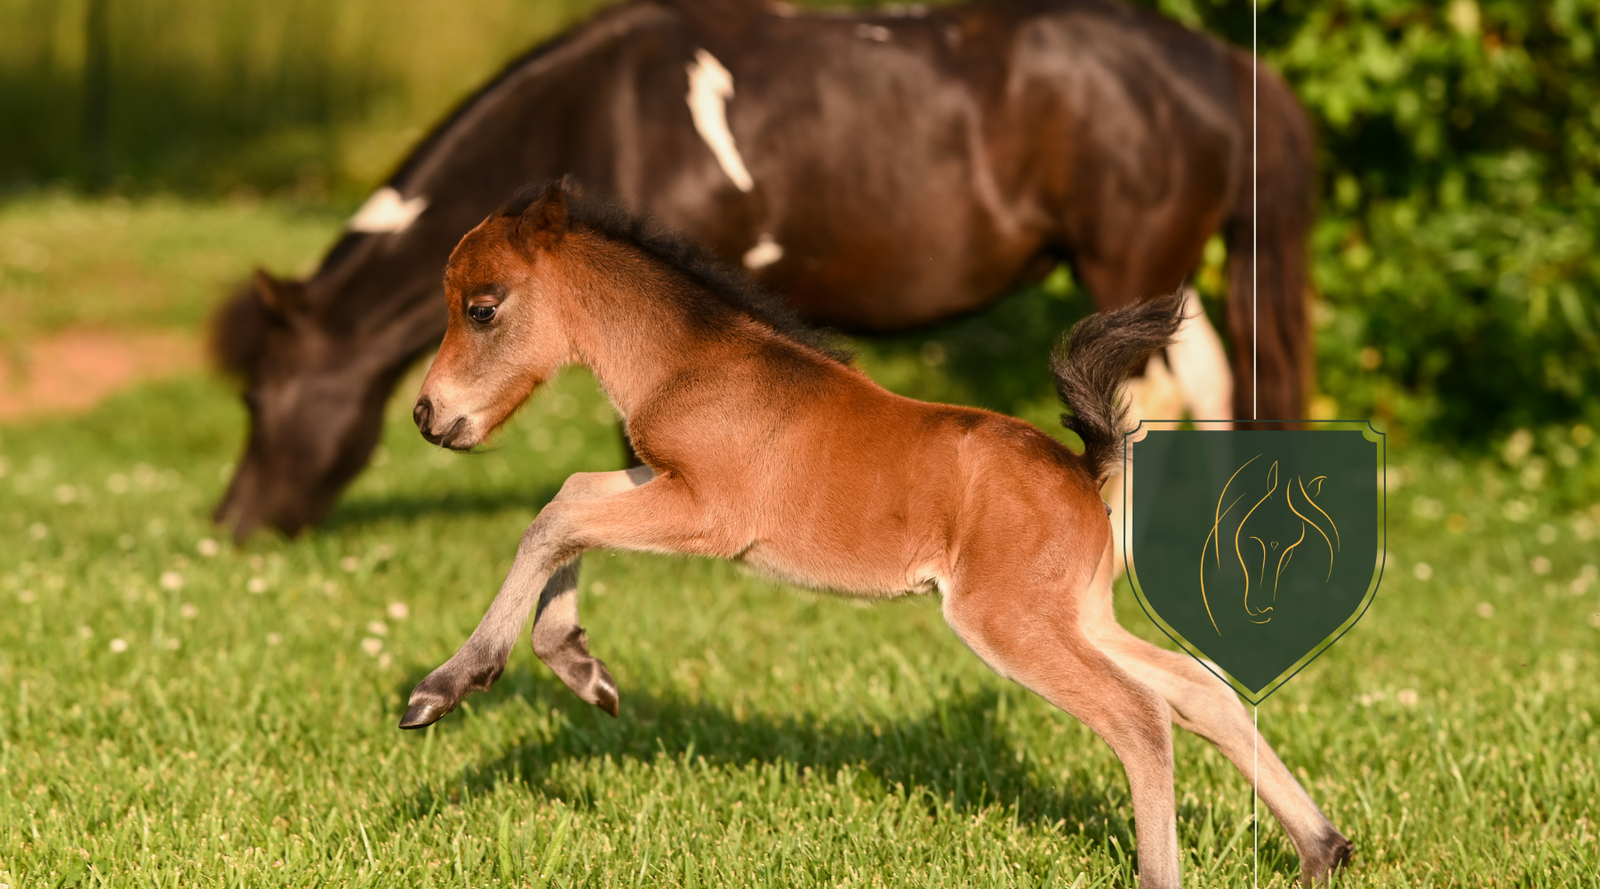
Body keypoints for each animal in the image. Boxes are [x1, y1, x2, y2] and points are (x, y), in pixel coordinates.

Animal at [212, 0, 1314, 540]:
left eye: (259, 397)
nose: (231, 524)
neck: (611, 103)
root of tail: (1217, 64)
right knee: (1209, 384)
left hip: (1125, 261)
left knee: (1152, 400)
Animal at [400, 181, 1350, 887]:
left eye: (481, 308)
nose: (426, 415)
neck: (695, 361)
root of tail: (1088, 469)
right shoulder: (666, 486)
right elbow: (569, 501)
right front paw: (579, 665)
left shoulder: (709, 515)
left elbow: (556, 517)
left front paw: (448, 686)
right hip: (1076, 614)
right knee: (1199, 687)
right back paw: (1322, 847)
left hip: (1006, 620)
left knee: (1142, 715)